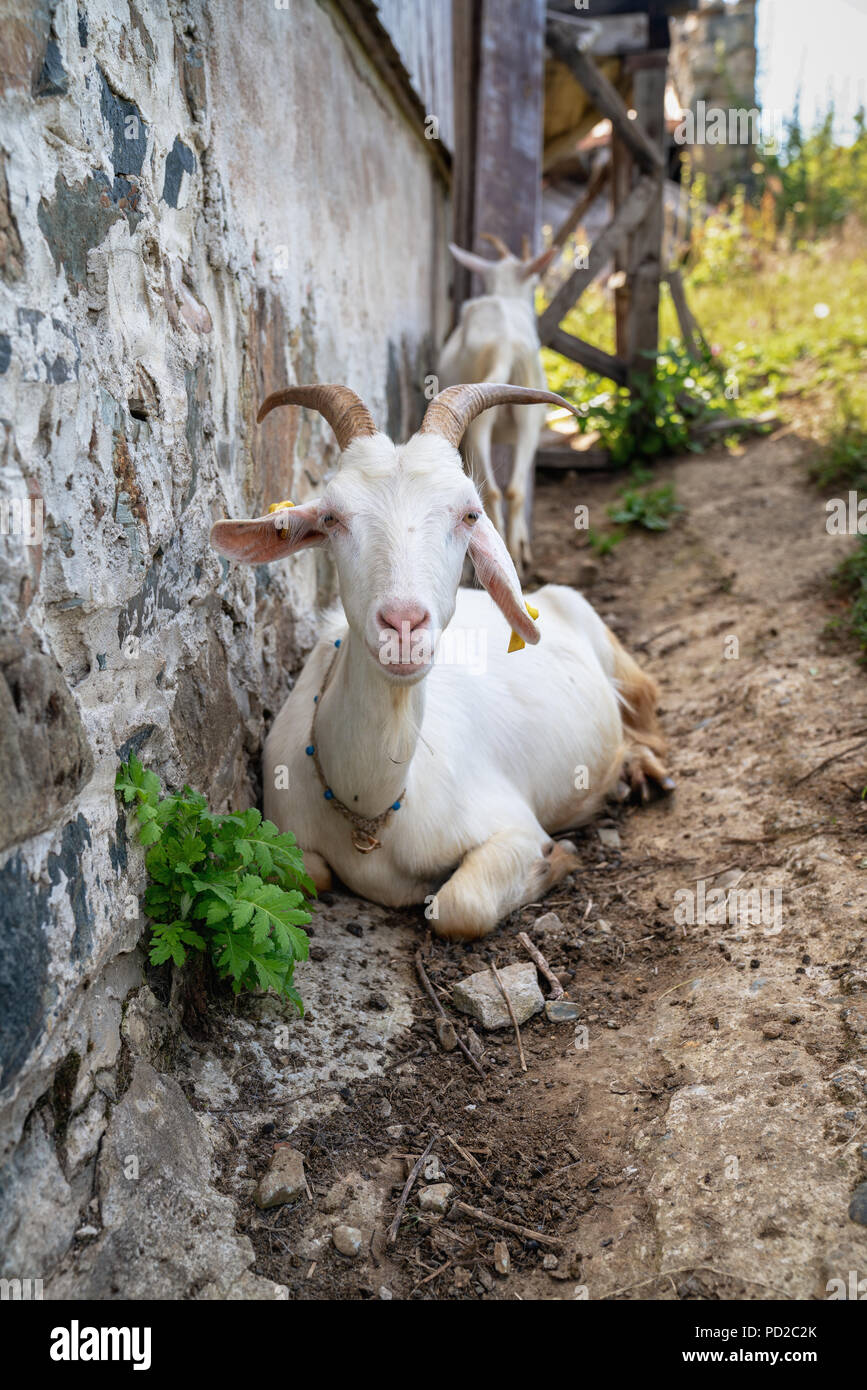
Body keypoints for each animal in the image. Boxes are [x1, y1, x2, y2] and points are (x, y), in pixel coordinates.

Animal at [209, 386, 669, 939]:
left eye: (469, 514)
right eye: (331, 518)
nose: (404, 624)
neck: (371, 804)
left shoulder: (513, 826)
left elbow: (457, 907)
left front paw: (558, 859)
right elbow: (310, 874)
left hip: (602, 638)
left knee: (646, 708)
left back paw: (642, 771)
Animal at [439, 236, 555, 572]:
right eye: (534, 284)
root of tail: (505, 345)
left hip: (484, 420)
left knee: (497, 490)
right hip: (519, 419)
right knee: (510, 489)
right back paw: (514, 555)